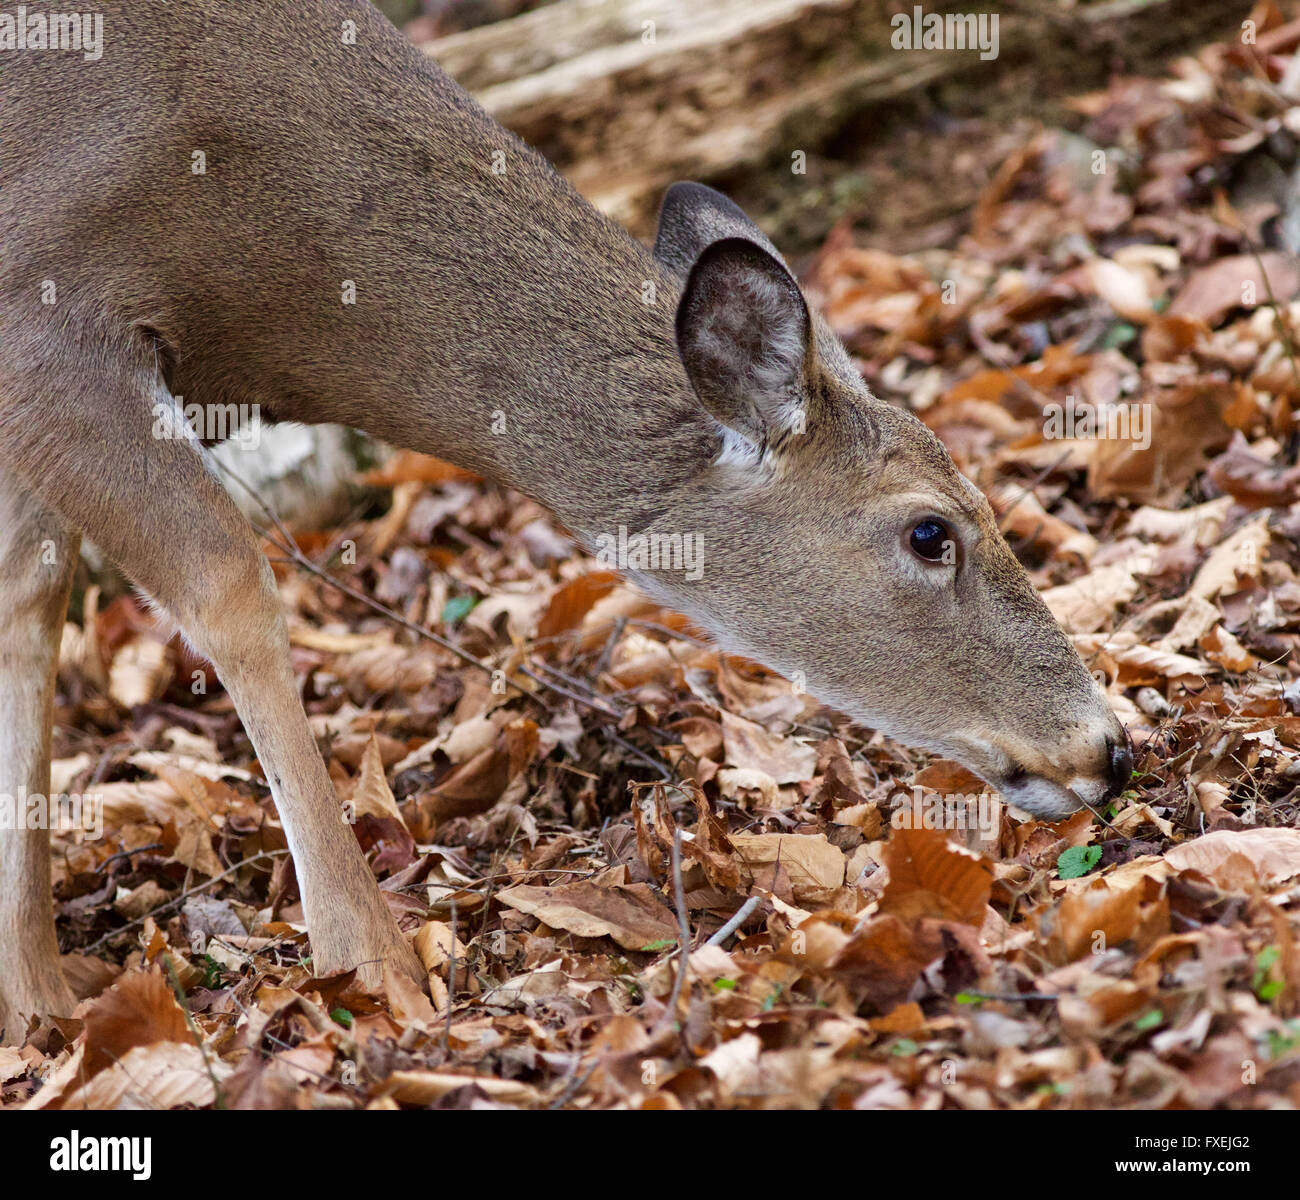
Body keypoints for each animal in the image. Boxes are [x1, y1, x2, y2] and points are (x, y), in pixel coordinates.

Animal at [0, 0, 1131, 1042]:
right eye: (930, 532)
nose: (1108, 747)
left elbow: (29, 603)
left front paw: (34, 1003)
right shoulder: (43, 314)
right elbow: (226, 590)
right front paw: (373, 966)